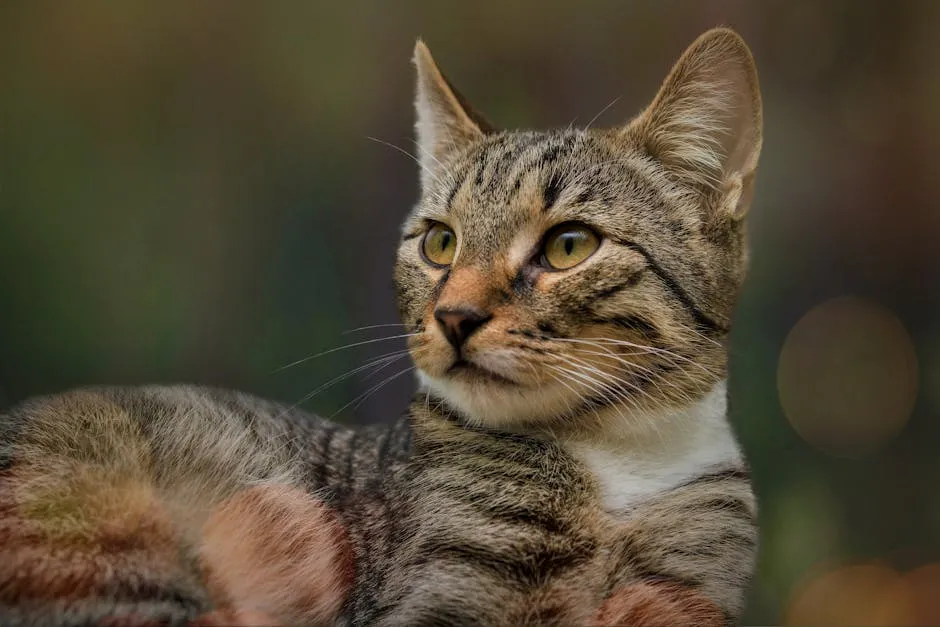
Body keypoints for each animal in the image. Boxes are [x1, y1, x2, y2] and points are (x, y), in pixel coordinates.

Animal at [0, 28, 764, 627]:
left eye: (569, 246)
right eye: (441, 243)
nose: (454, 316)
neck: (617, 464)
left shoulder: (694, 586)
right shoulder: (436, 594)